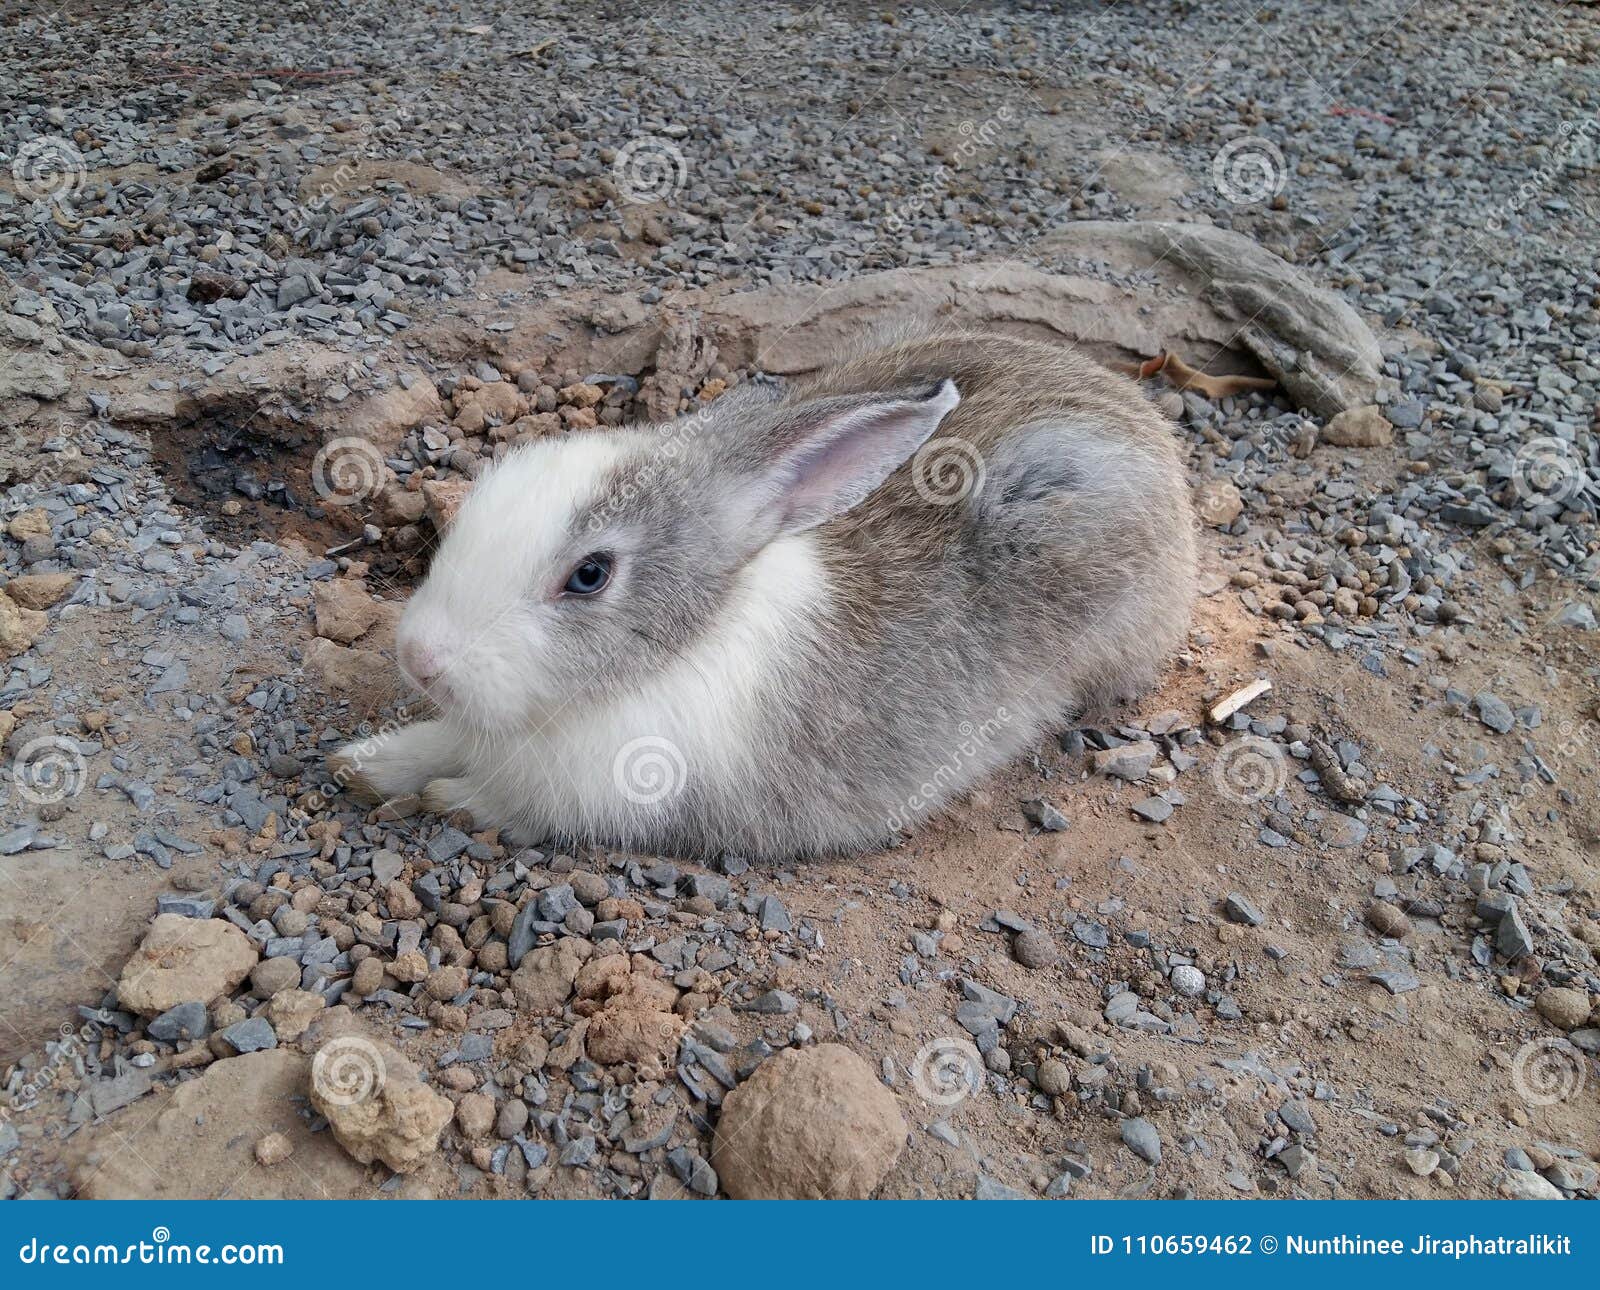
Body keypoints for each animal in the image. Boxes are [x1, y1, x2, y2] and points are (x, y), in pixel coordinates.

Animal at [328, 329, 1197, 861]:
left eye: (590, 575)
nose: (420, 659)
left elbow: (504, 805)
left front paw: (447, 801)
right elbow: (432, 741)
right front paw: (364, 766)